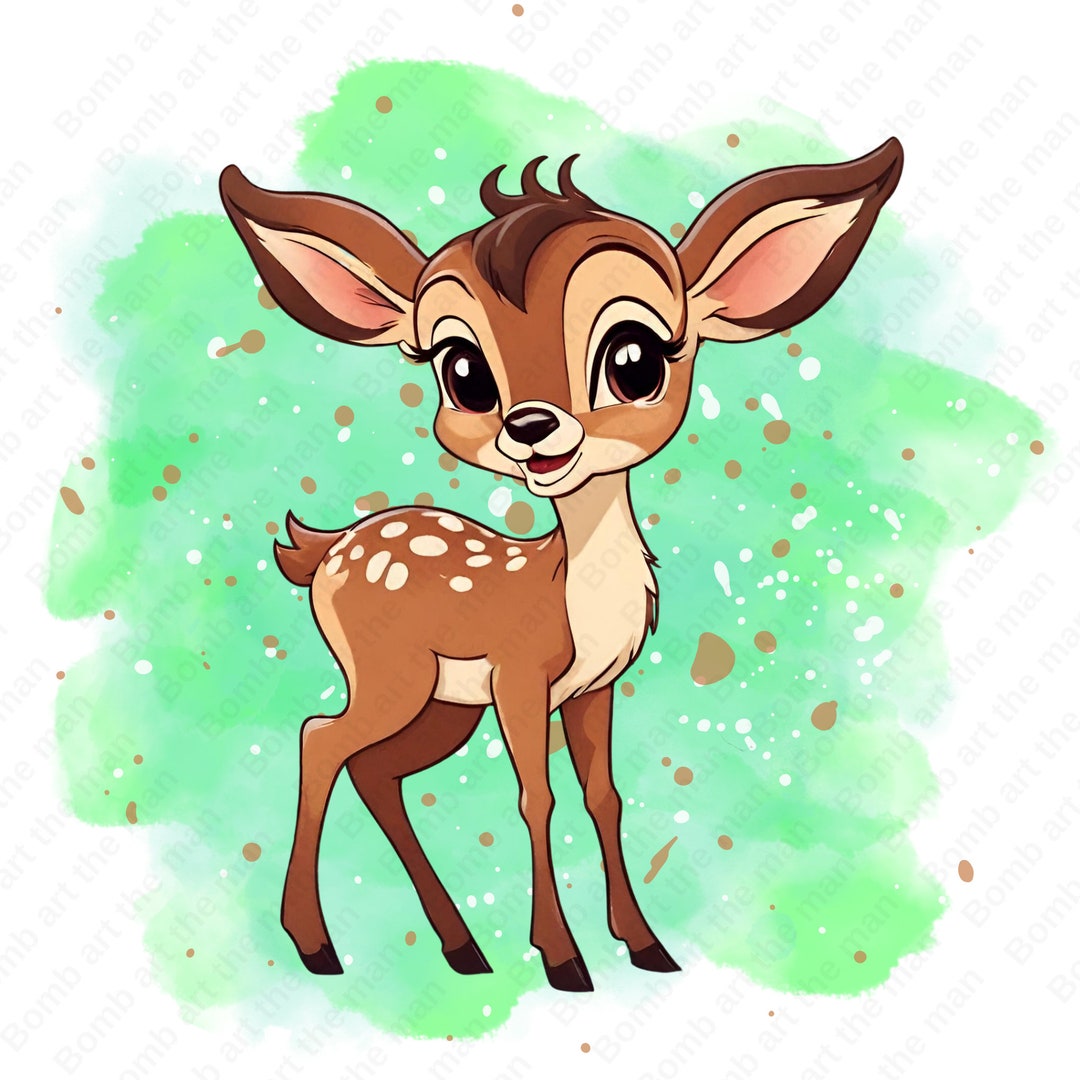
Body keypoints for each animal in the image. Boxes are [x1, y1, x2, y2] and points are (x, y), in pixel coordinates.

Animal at [219, 137, 902, 993]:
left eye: (635, 359)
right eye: (463, 371)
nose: (530, 426)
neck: (570, 585)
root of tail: (324, 550)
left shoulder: (592, 688)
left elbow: (603, 795)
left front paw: (646, 946)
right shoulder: (520, 676)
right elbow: (534, 796)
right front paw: (564, 958)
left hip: (441, 702)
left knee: (374, 769)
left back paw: (462, 949)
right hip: (390, 673)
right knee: (320, 739)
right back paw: (318, 946)